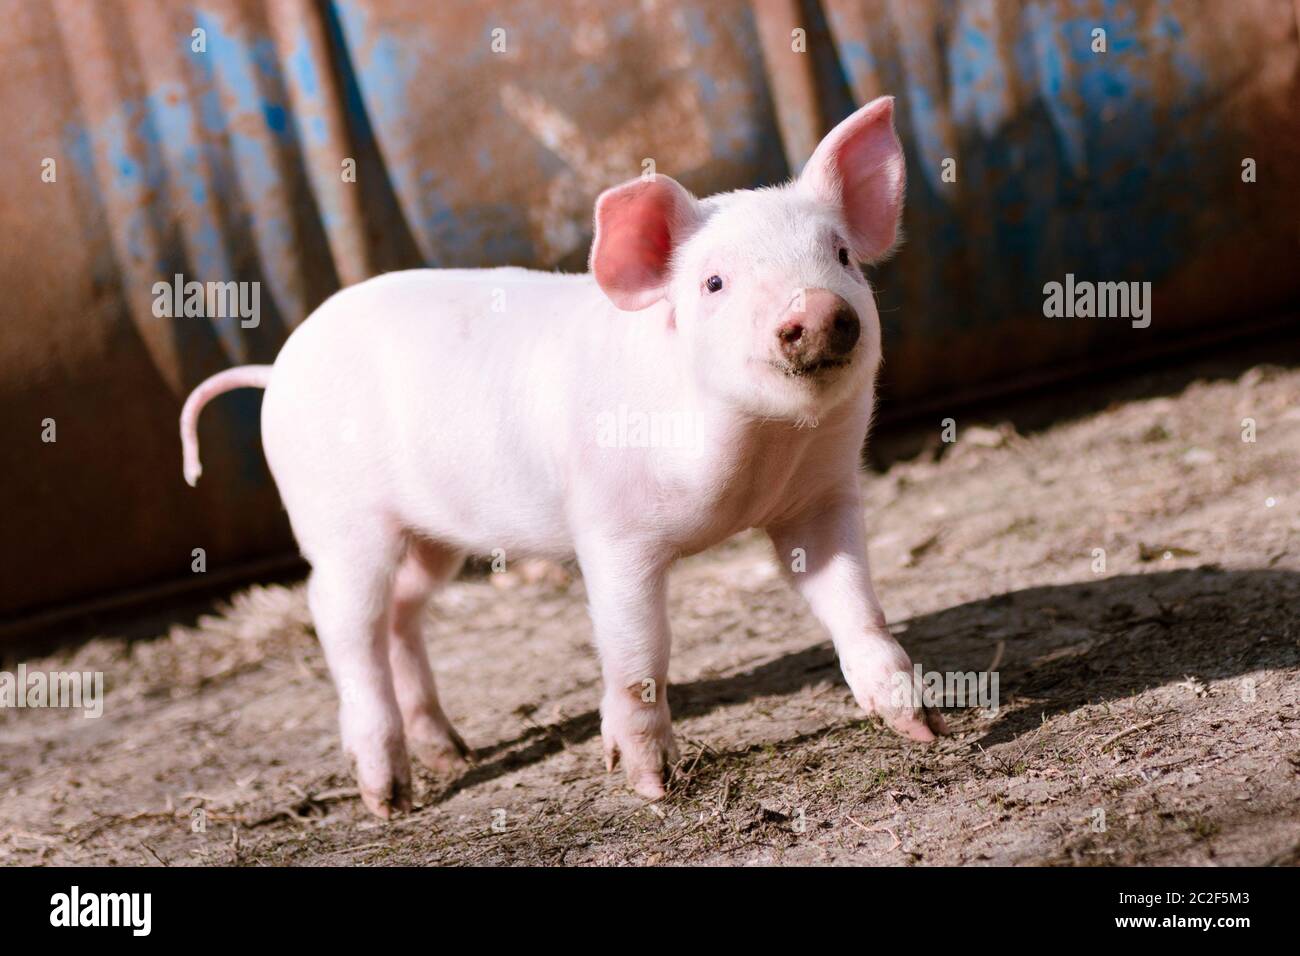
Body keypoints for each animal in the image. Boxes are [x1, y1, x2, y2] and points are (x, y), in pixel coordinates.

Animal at [179, 96, 946, 818]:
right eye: (714, 284)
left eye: (841, 255)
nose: (814, 306)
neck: (755, 458)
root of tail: (276, 370)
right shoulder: (612, 532)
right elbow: (638, 652)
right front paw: (652, 789)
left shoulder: (818, 498)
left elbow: (855, 606)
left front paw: (923, 729)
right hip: (339, 524)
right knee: (343, 622)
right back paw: (390, 801)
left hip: (429, 537)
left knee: (401, 614)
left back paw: (452, 755)